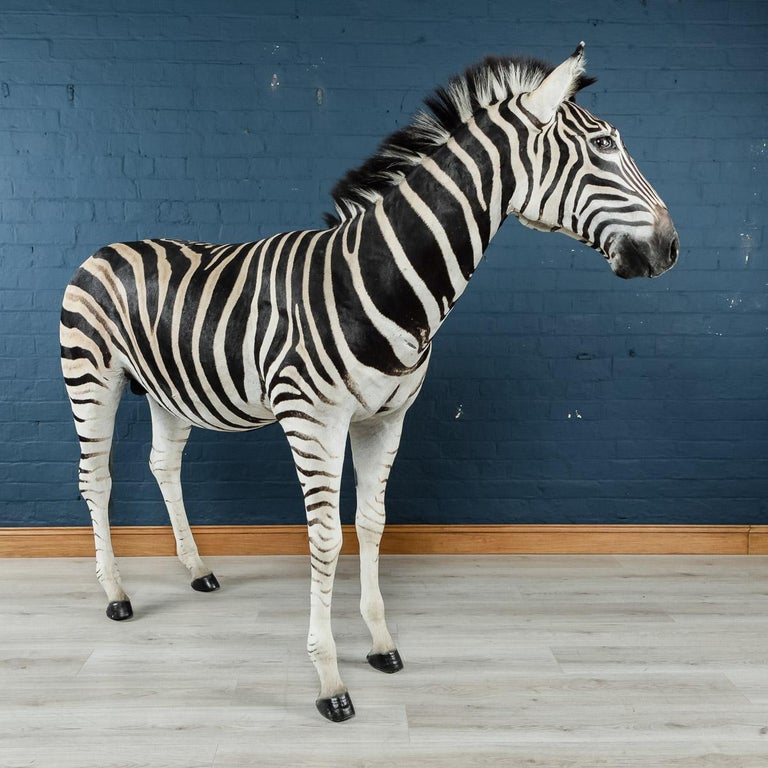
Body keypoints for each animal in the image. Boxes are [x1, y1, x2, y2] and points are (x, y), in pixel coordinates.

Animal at [60, 43, 678, 722]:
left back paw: (197, 569)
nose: (671, 248)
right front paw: (330, 679)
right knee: (97, 479)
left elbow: (373, 524)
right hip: (91, 376)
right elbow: (327, 538)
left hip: (166, 391)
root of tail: (105, 247)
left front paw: (381, 644)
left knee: (163, 466)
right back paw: (116, 595)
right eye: (603, 145)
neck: (382, 282)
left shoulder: (386, 419)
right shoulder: (313, 422)